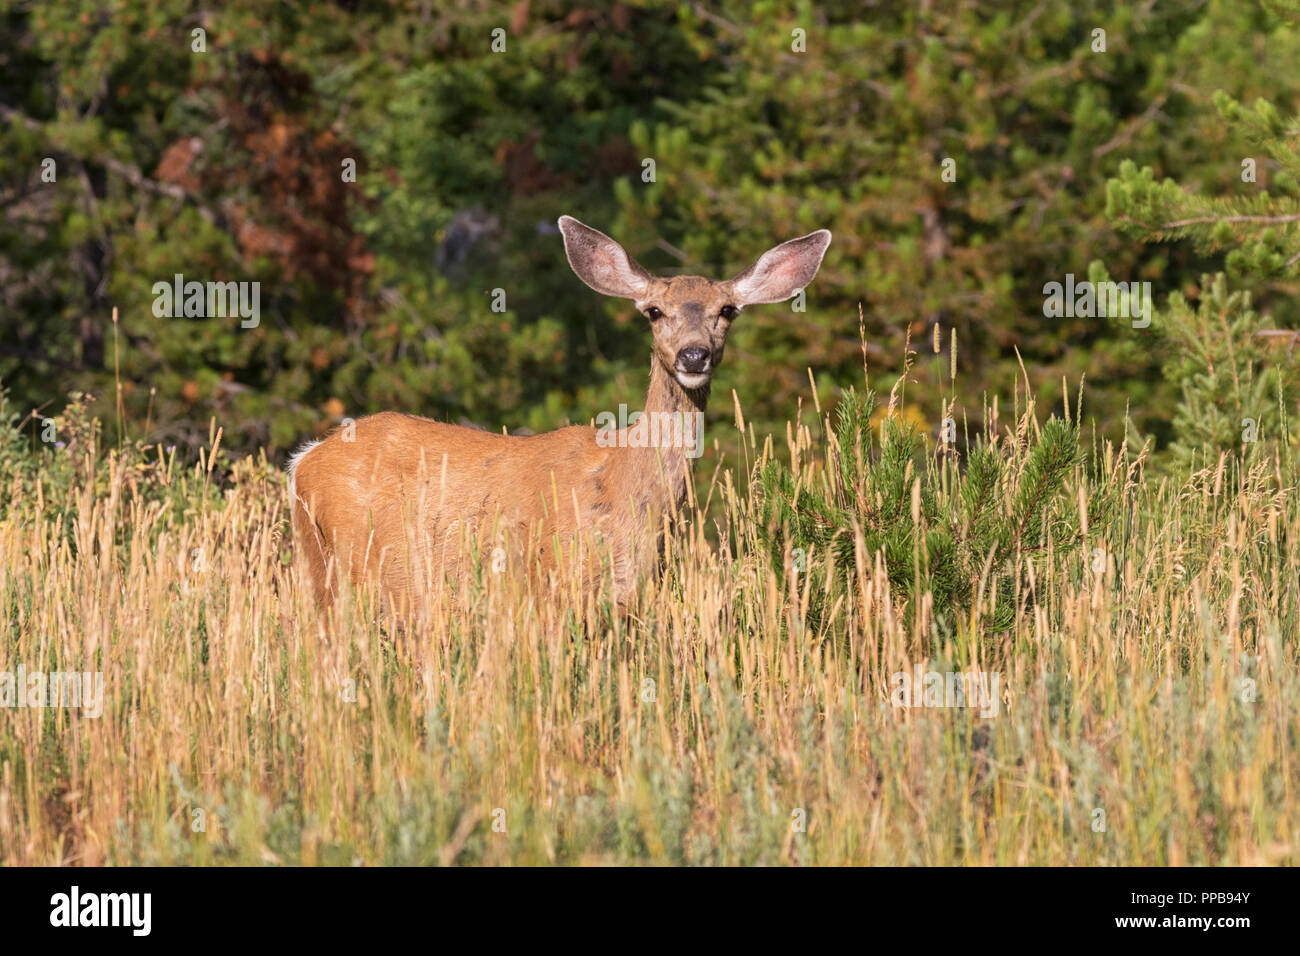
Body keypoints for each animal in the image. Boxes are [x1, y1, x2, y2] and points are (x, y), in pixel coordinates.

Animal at [289, 216, 831, 617]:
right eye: (654, 311)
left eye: (727, 310)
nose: (693, 355)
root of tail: (303, 461)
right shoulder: (552, 582)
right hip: (358, 568)